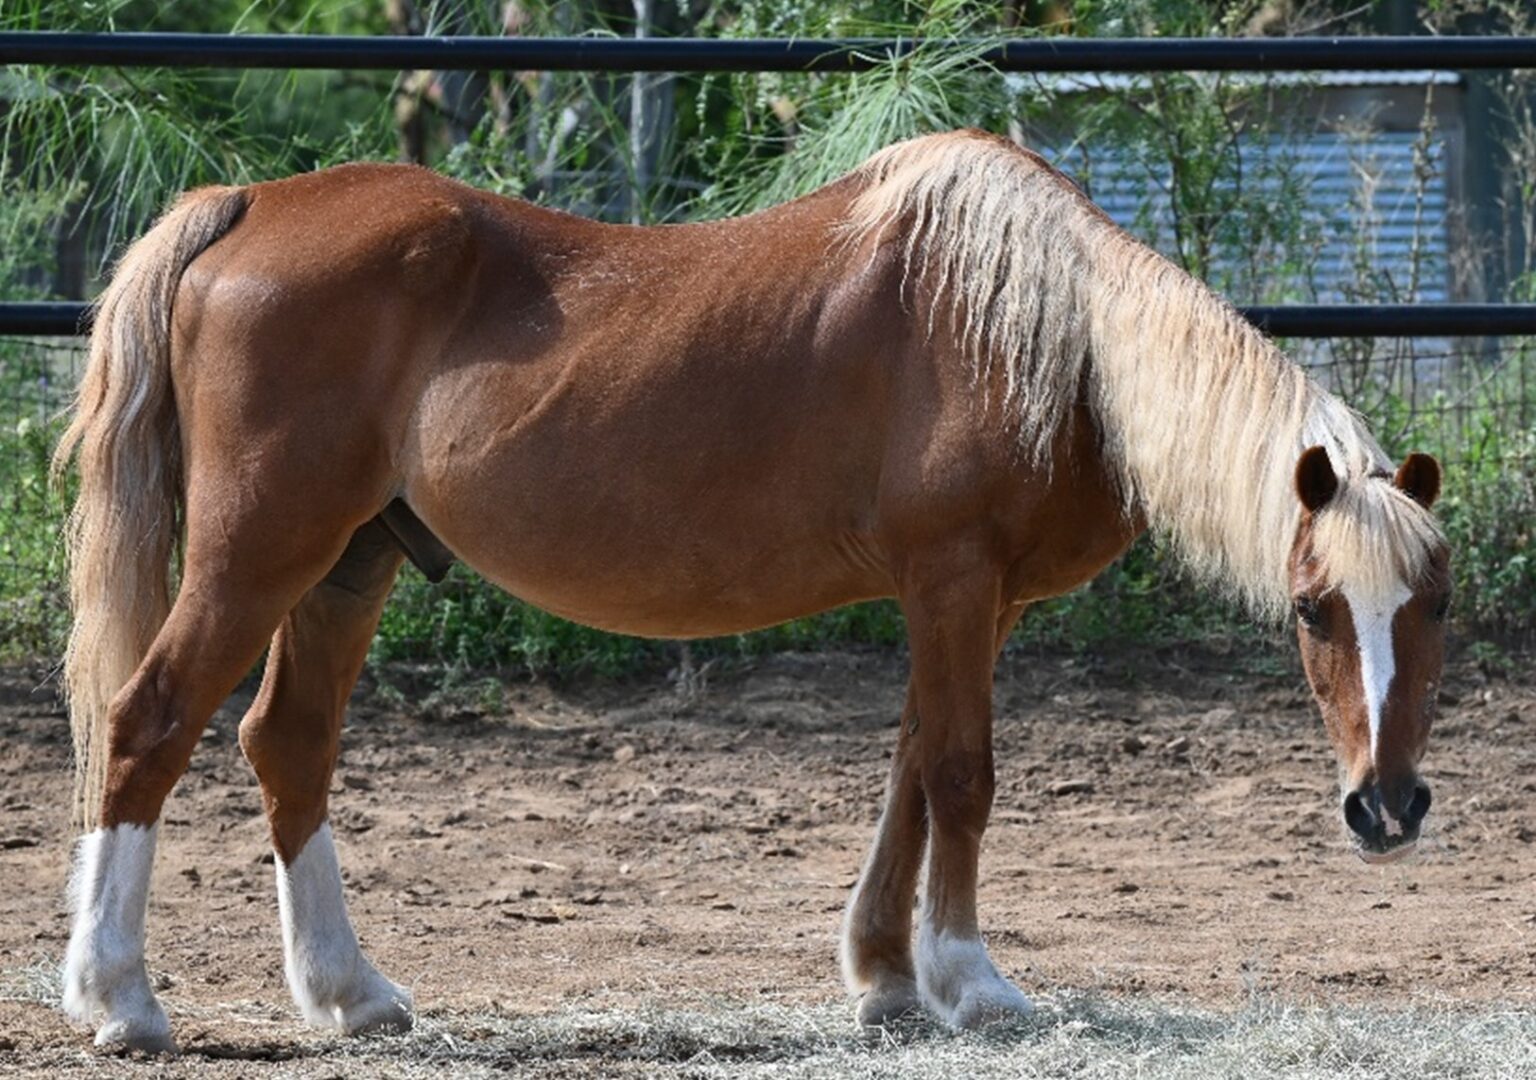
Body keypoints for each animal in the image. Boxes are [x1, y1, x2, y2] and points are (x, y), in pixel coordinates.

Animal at [53, 128, 1450, 1052]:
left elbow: (912, 768)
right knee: (148, 723)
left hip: (349, 563)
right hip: (257, 554)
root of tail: (245, 207)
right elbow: (963, 774)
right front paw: (971, 981)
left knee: (287, 744)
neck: (1049, 334)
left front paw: (885, 974)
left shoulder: (966, 600)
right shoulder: (954, 579)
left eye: (1433, 607)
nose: (1386, 811)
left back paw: (352, 994)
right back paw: (119, 998)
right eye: (1315, 610)